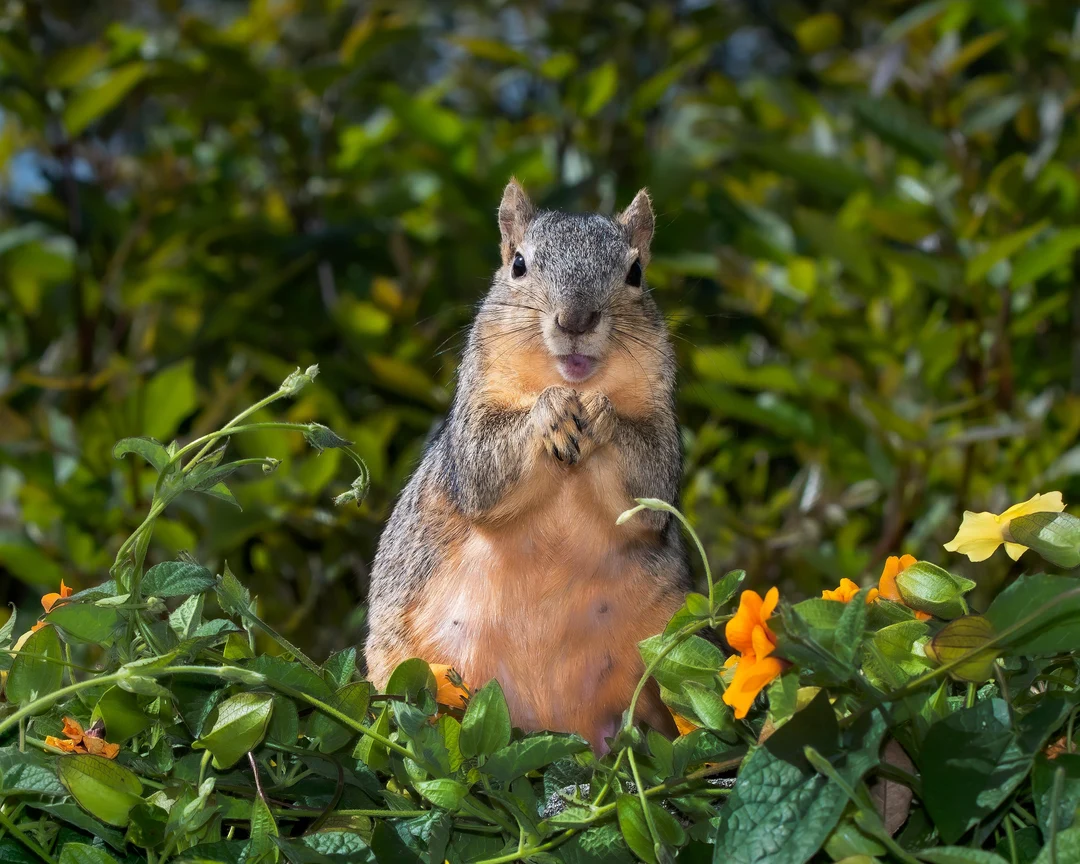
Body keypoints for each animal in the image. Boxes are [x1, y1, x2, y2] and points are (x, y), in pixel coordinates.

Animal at [364, 180, 689, 748]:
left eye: (636, 273)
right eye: (518, 264)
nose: (576, 320)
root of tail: (556, 726)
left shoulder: (661, 436)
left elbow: (650, 492)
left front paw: (601, 413)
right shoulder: (470, 432)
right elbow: (482, 471)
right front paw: (550, 410)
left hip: (673, 649)